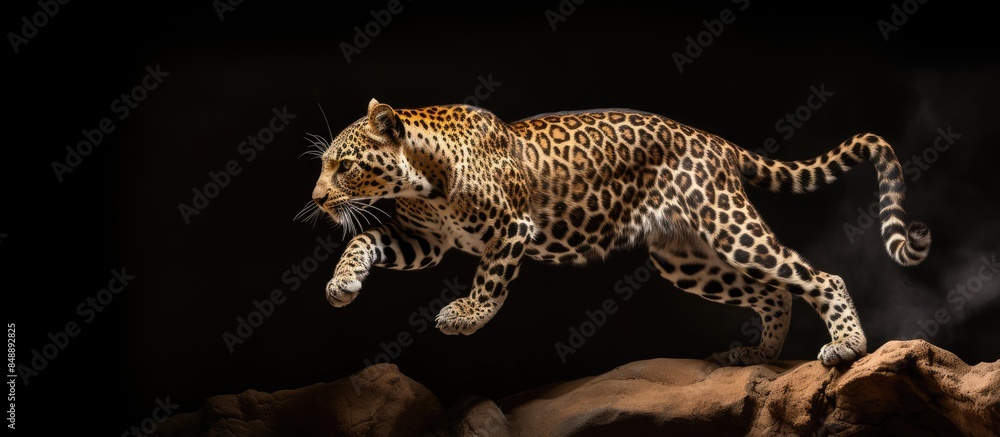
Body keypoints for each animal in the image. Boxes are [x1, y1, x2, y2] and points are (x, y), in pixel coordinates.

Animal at [304, 98, 931, 366]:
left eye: (345, 165)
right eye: (324, 165)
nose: (316, 199)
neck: (419, 179)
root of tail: (714, 140)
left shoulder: (514, 227)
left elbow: (491, 280)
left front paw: (465, 317)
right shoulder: (426, 241)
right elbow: (363, 239)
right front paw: (341, 285)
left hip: (729, 226)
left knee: (818, 277)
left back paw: (847, 346)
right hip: (685, 258)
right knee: (775, 292)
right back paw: (759, 357)